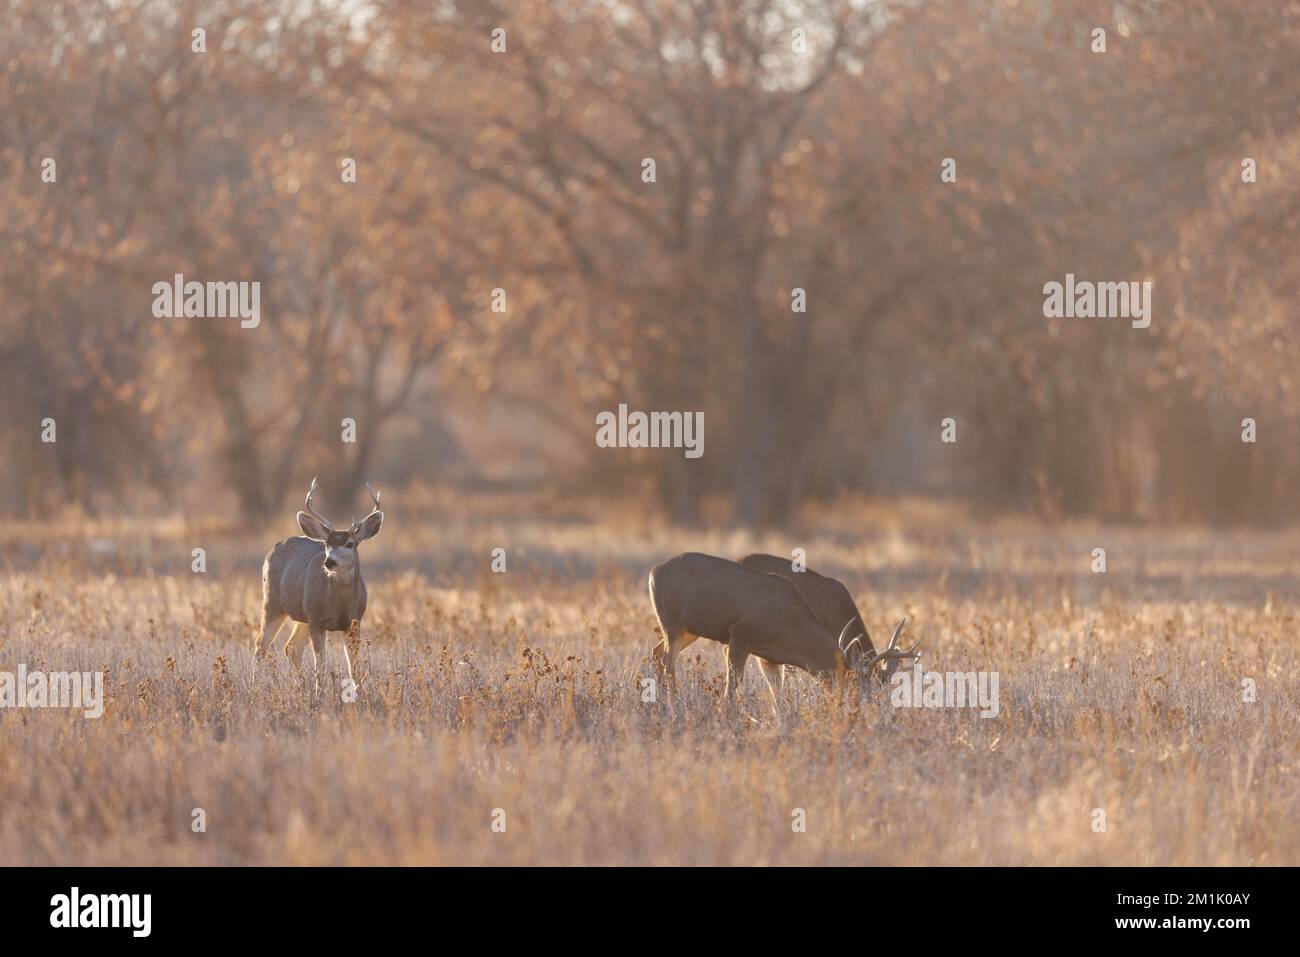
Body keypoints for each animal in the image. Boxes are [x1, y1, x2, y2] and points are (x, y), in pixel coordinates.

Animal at [254, 477, 383, 691]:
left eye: (350, 544)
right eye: (326, 544)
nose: (329, 561)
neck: (340, 606)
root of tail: (274, 547)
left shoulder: (354, 622)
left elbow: (353, 666)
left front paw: (355, 692)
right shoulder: (317, 620)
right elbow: (320, 665)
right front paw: (319, 693)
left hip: (302, 615)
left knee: (291, 647)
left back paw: (300, 686)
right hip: (272, 603)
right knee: (260, 646)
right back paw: (257, 685)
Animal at [647, 552, 919, 707]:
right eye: (857, 689)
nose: (864, 713)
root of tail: (654, 570)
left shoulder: (768, 657)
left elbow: (777, 691)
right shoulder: (740, 635)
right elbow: (733, 686)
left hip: (688, 630)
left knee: (657, 653)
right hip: (672, 623)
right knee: (668, 661)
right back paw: (673, 704)